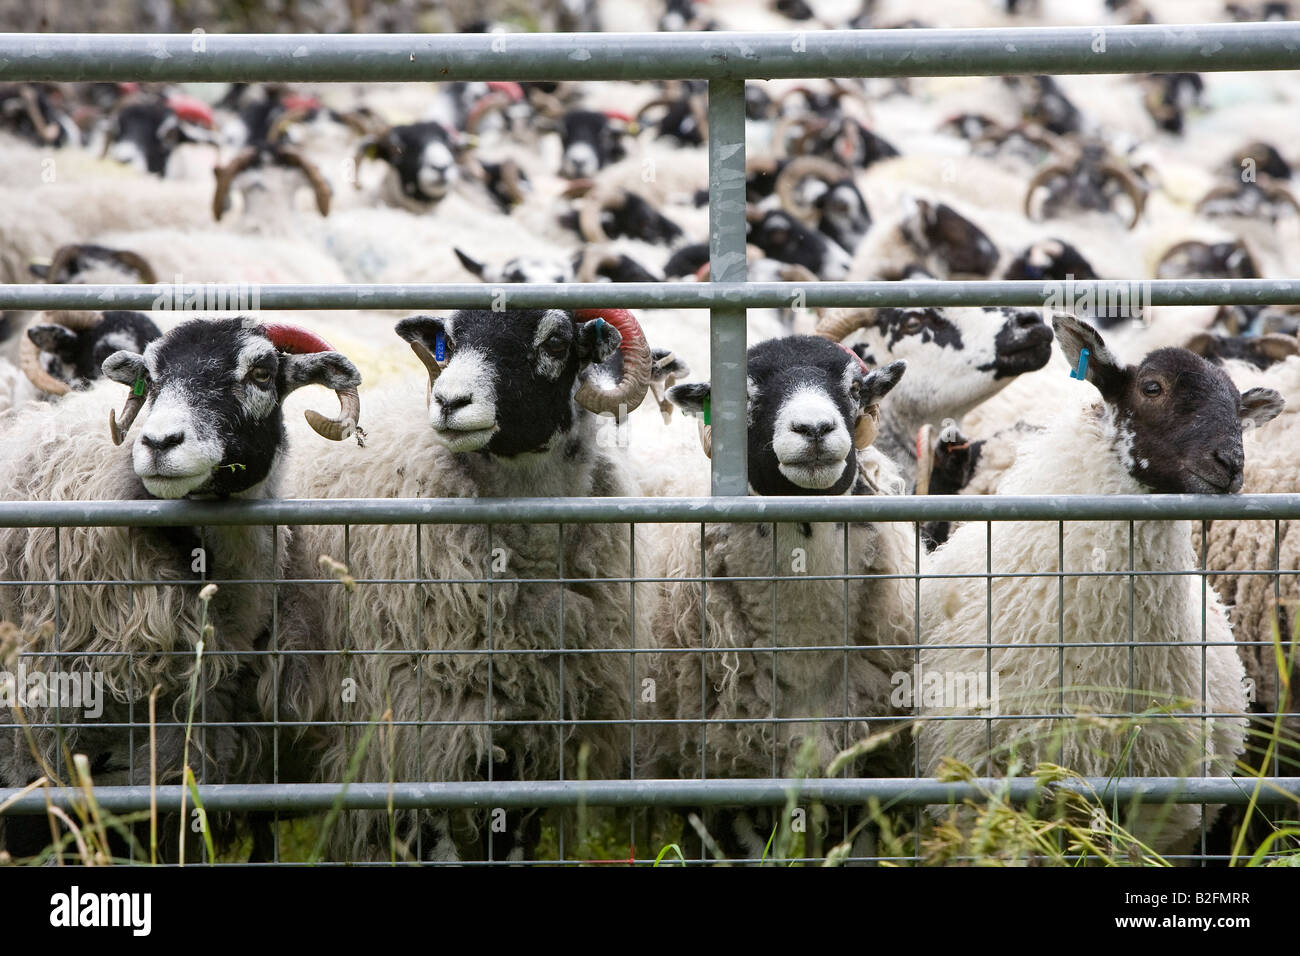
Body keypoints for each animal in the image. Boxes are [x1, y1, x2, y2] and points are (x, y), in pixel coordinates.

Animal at [646, 336, 915, 860]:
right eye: (744, 395)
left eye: (854, 388)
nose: (814, 429)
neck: (804, 651)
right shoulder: (731, 777)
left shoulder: (863, 767)